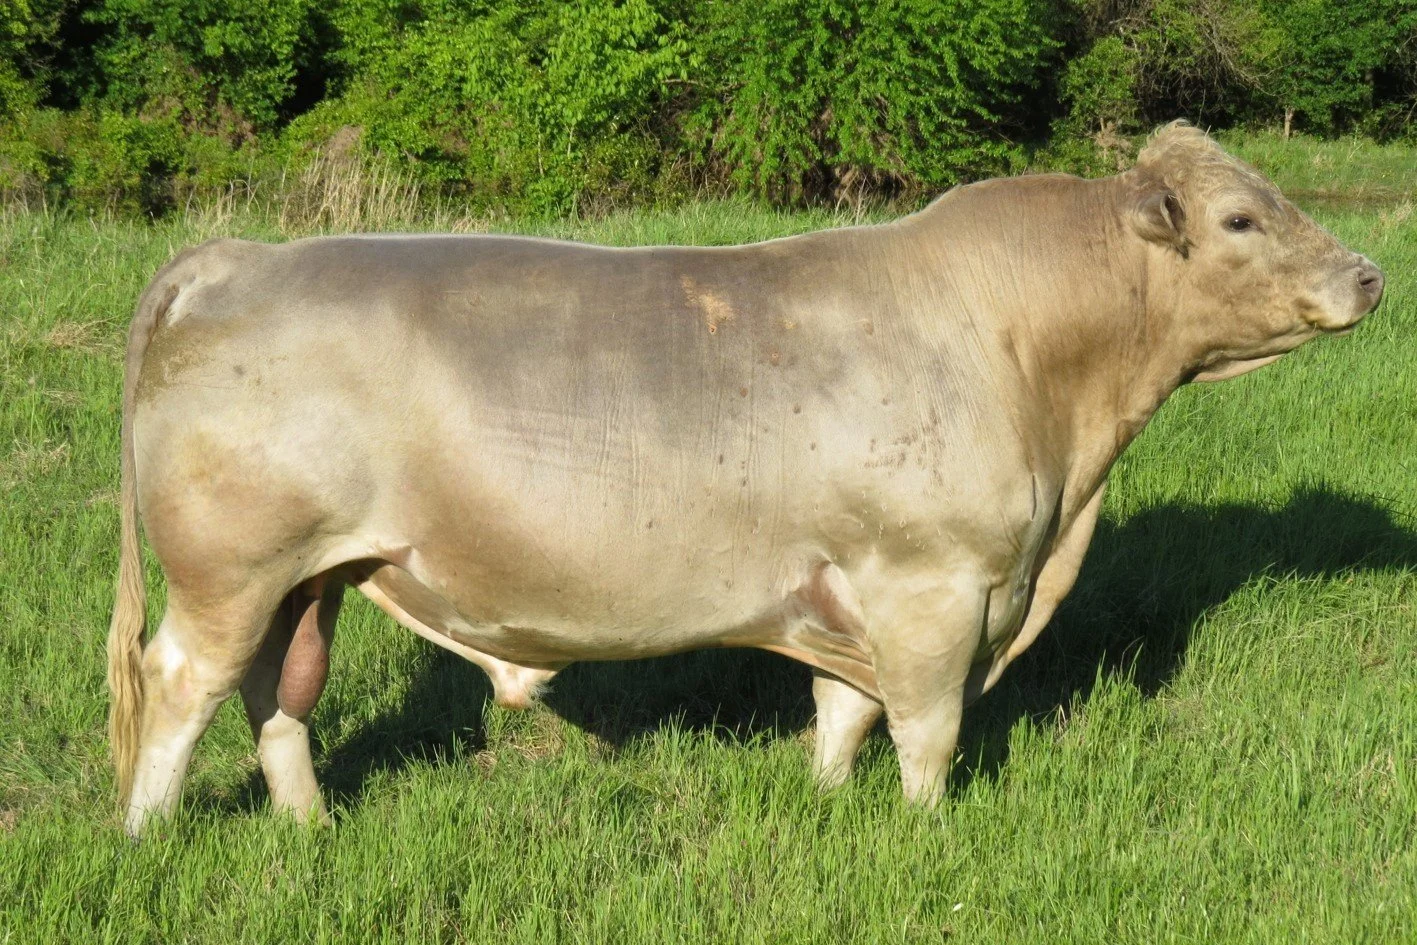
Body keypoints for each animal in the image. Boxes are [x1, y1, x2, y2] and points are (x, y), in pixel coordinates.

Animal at [108, 122, 1384, 836]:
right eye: (1240, 217)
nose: (1370, 275)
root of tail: (240, 256)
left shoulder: (850, 584)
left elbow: (843, 710)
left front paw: (826, 806)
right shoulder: (935, 586)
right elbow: (926, 727)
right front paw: (926, 834)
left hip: (306, 575)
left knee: (278, 695)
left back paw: (308, 830)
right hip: (229, 568)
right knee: (181, 684)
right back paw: (144, 835)